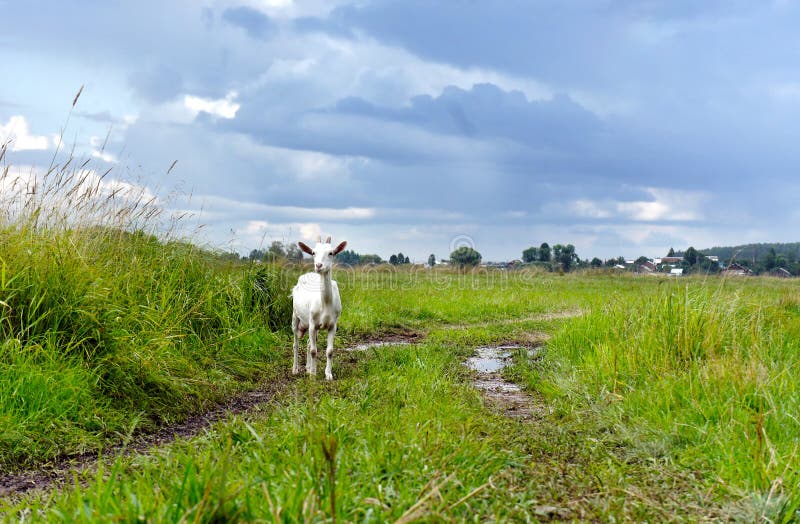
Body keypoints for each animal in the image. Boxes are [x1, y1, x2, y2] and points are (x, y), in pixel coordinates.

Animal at [292, 235, 347, 380]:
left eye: (331, 252)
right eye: (313, 252)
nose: (318, 265)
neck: (326, 304)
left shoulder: (333, 325)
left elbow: (329, 351)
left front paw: (328, 374)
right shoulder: (312, 324)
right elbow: (313, 350)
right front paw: (313, 375)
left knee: (308, 343)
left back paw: (307, 367)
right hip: (295, 316)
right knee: (296, 343)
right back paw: (295, 369)